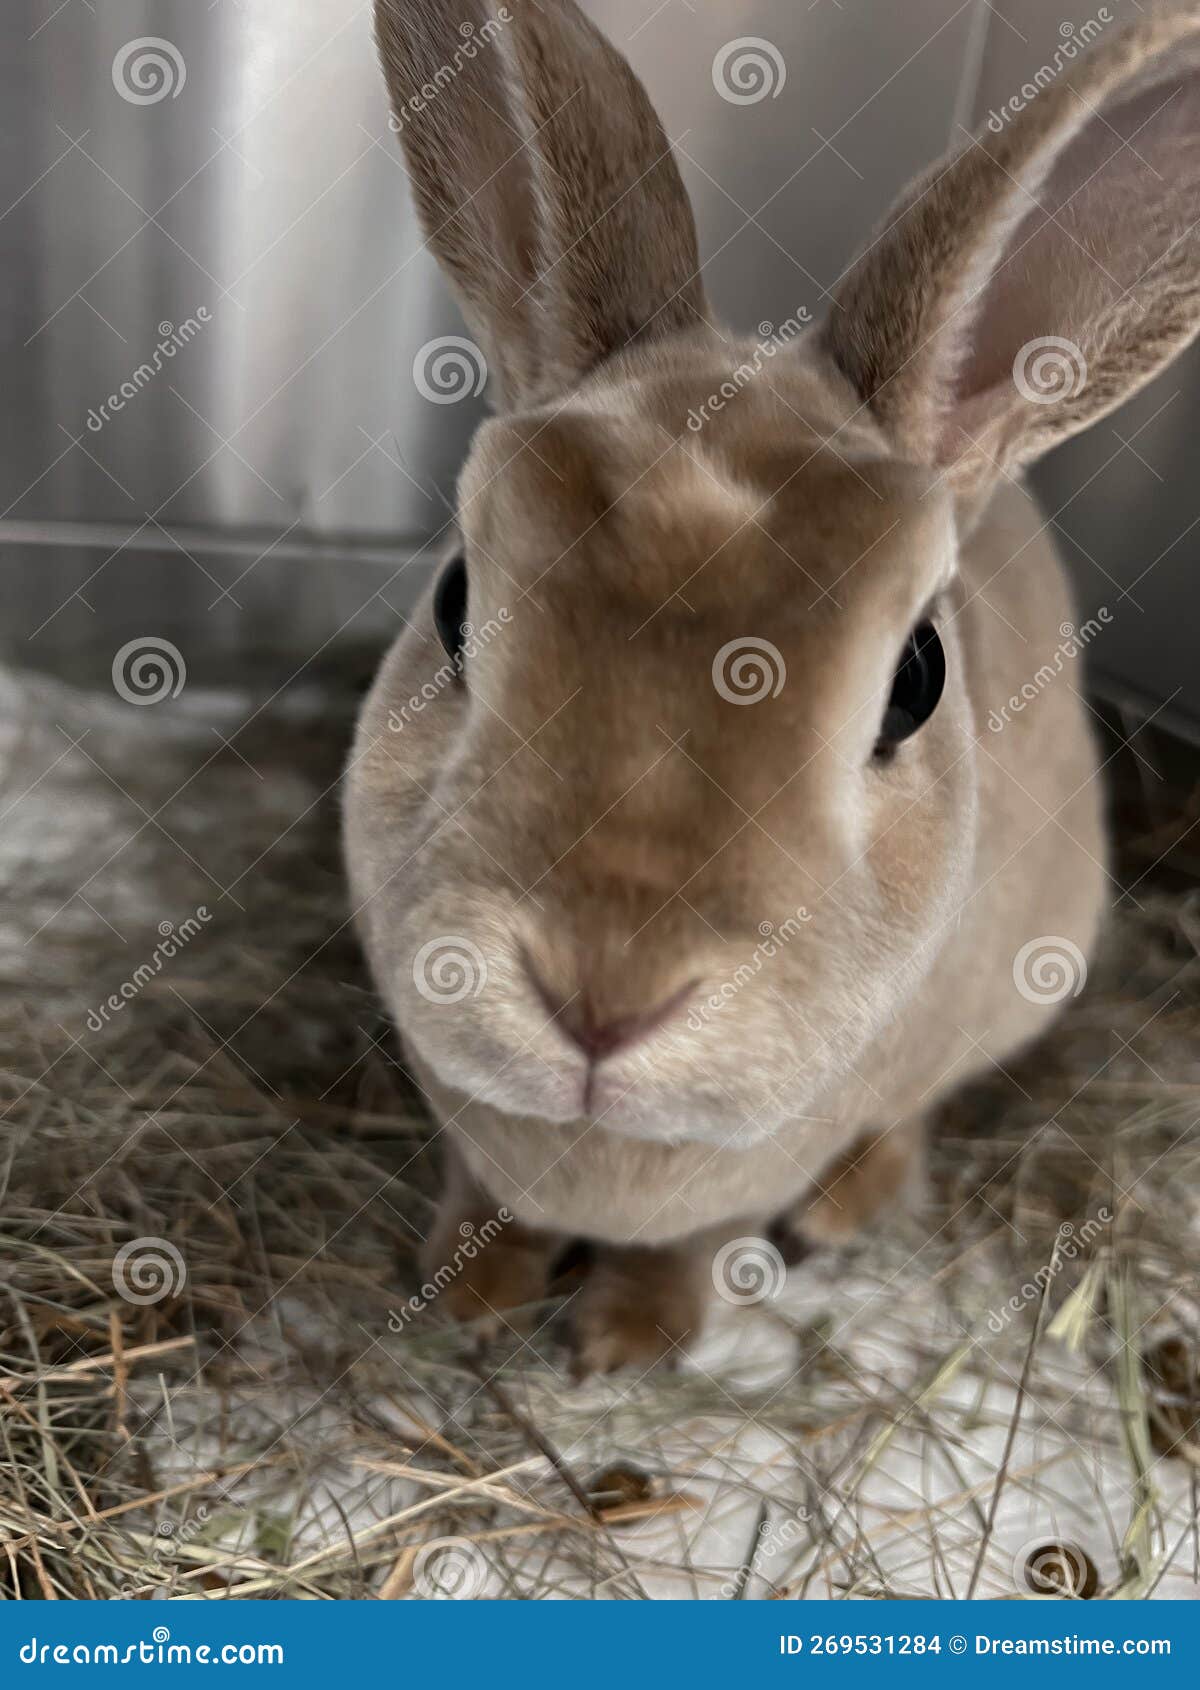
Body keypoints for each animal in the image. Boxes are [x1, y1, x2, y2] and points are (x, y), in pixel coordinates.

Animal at [346, 0, 1200, 1372]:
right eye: (455, 604)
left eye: (918, 681)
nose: (603, 993)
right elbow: (488, 1201)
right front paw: (470, 1298)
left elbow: (691, 1243)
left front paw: (626, 1343)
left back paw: (845, 1206)